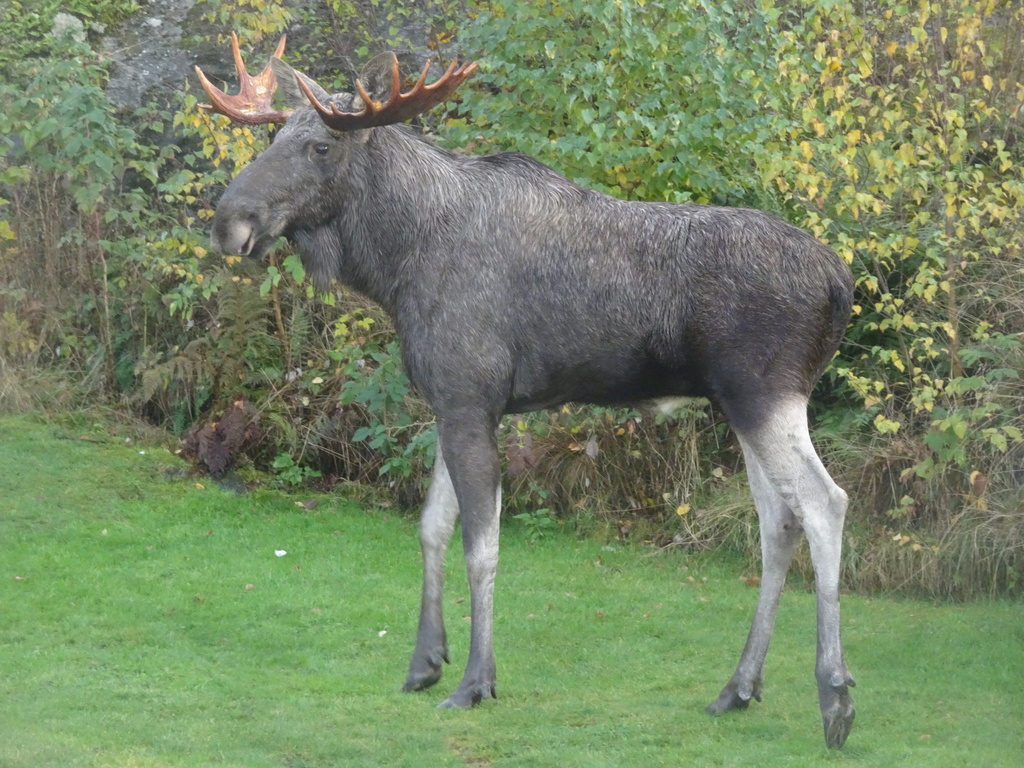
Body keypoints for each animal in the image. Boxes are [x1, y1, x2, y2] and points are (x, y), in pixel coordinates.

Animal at [195, 34, 857, 748]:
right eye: (276, 134)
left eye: (321, 146)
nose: (228, 222)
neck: (397, 264)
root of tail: (839, 284)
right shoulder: (452, 401)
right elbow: (432, 527)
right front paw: (424, 661)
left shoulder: (469, 398)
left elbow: (481, 547)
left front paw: (474, 682)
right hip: (739, 405)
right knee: (776, 521)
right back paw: (738, 687)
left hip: (763, 393)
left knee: (824, 503)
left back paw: (835, 698)